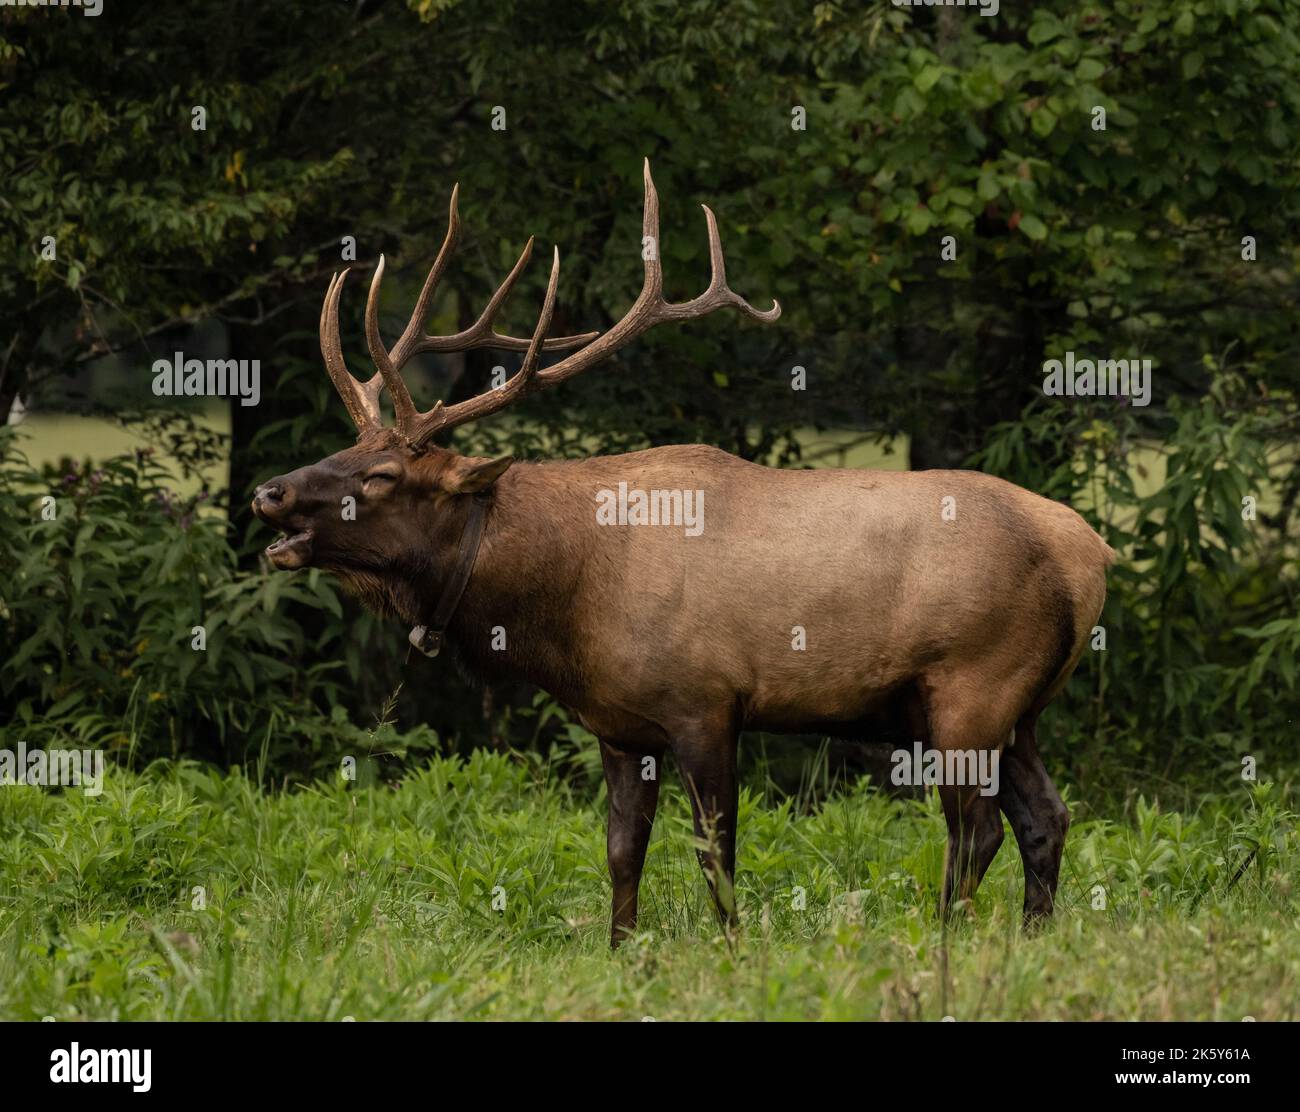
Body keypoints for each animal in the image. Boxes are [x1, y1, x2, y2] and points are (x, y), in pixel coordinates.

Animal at [253, 161, 1115, 946]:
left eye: (383, 475)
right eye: (345, 448)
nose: (269, 492)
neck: (563, 606)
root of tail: (1093, 554)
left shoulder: (708, 702)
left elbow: (715, 853)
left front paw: (731, 951)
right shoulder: (619, 725)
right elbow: (621, 853)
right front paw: (620, 950)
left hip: (972, 685)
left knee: (978, 830)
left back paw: (946, 941)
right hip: (1018, 706)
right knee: (1048, 817)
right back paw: (1033, 939)